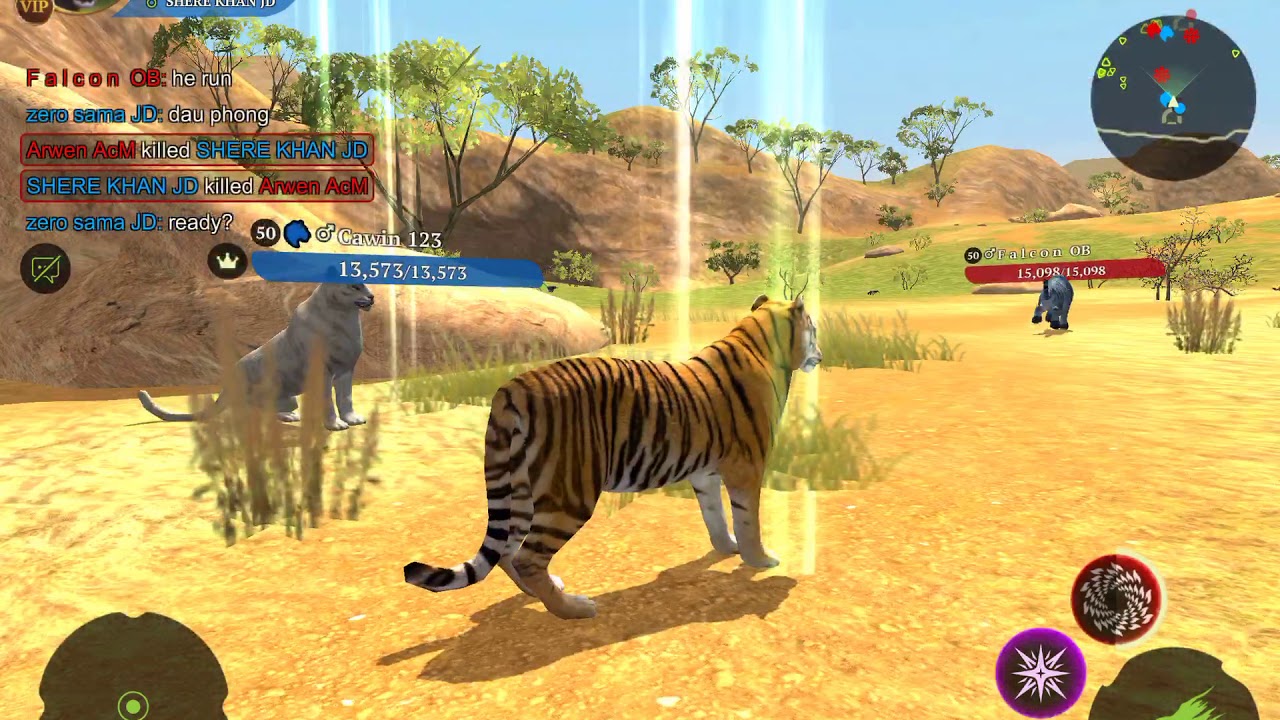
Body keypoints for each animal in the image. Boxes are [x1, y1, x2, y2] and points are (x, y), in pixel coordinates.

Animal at [403, 293, 822, 619]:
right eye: (813, 328)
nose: (819, 354)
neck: (759, 342)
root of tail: (513, 387)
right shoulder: (746, 467)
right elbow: (749, 520)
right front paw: (761, 559)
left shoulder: (706, 474)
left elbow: (715, 516)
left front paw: (727, 547)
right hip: (569, 494)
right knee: (526, 556)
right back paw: (573, 608)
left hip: (519, 488)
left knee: (508, 551)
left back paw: (545, 592)